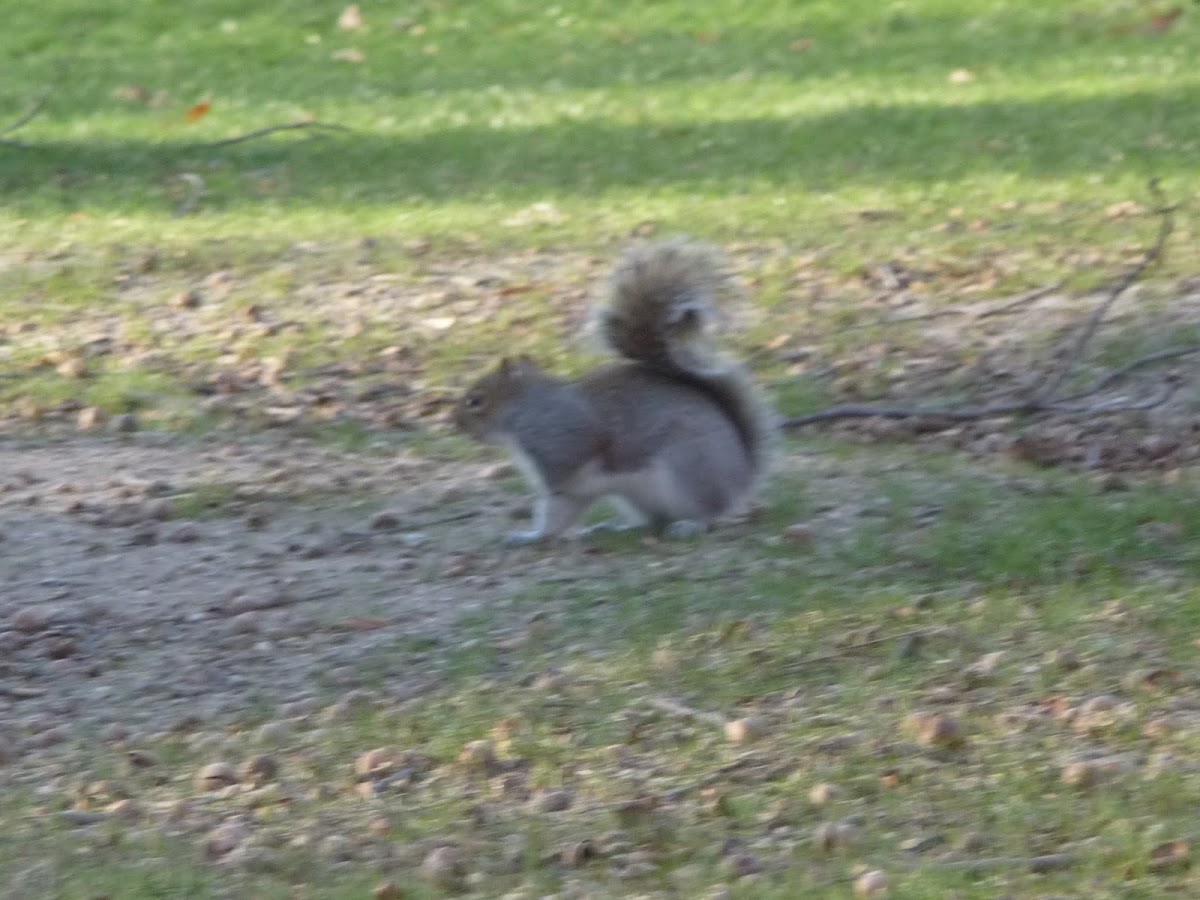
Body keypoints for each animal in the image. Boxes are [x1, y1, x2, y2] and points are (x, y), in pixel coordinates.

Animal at [453, 238, 775, 544]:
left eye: (475, 401)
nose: (456, 424)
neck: (524, 410)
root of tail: (743, 475)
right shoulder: (571, 491)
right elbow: (555, 517)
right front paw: (532, 536)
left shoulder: (562, 439)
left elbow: (566, 473)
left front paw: (527, 536)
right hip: (642, 497)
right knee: (655, 521)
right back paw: (616, 528)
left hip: (689, 470)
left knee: (710, 512)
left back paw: (690, 525)